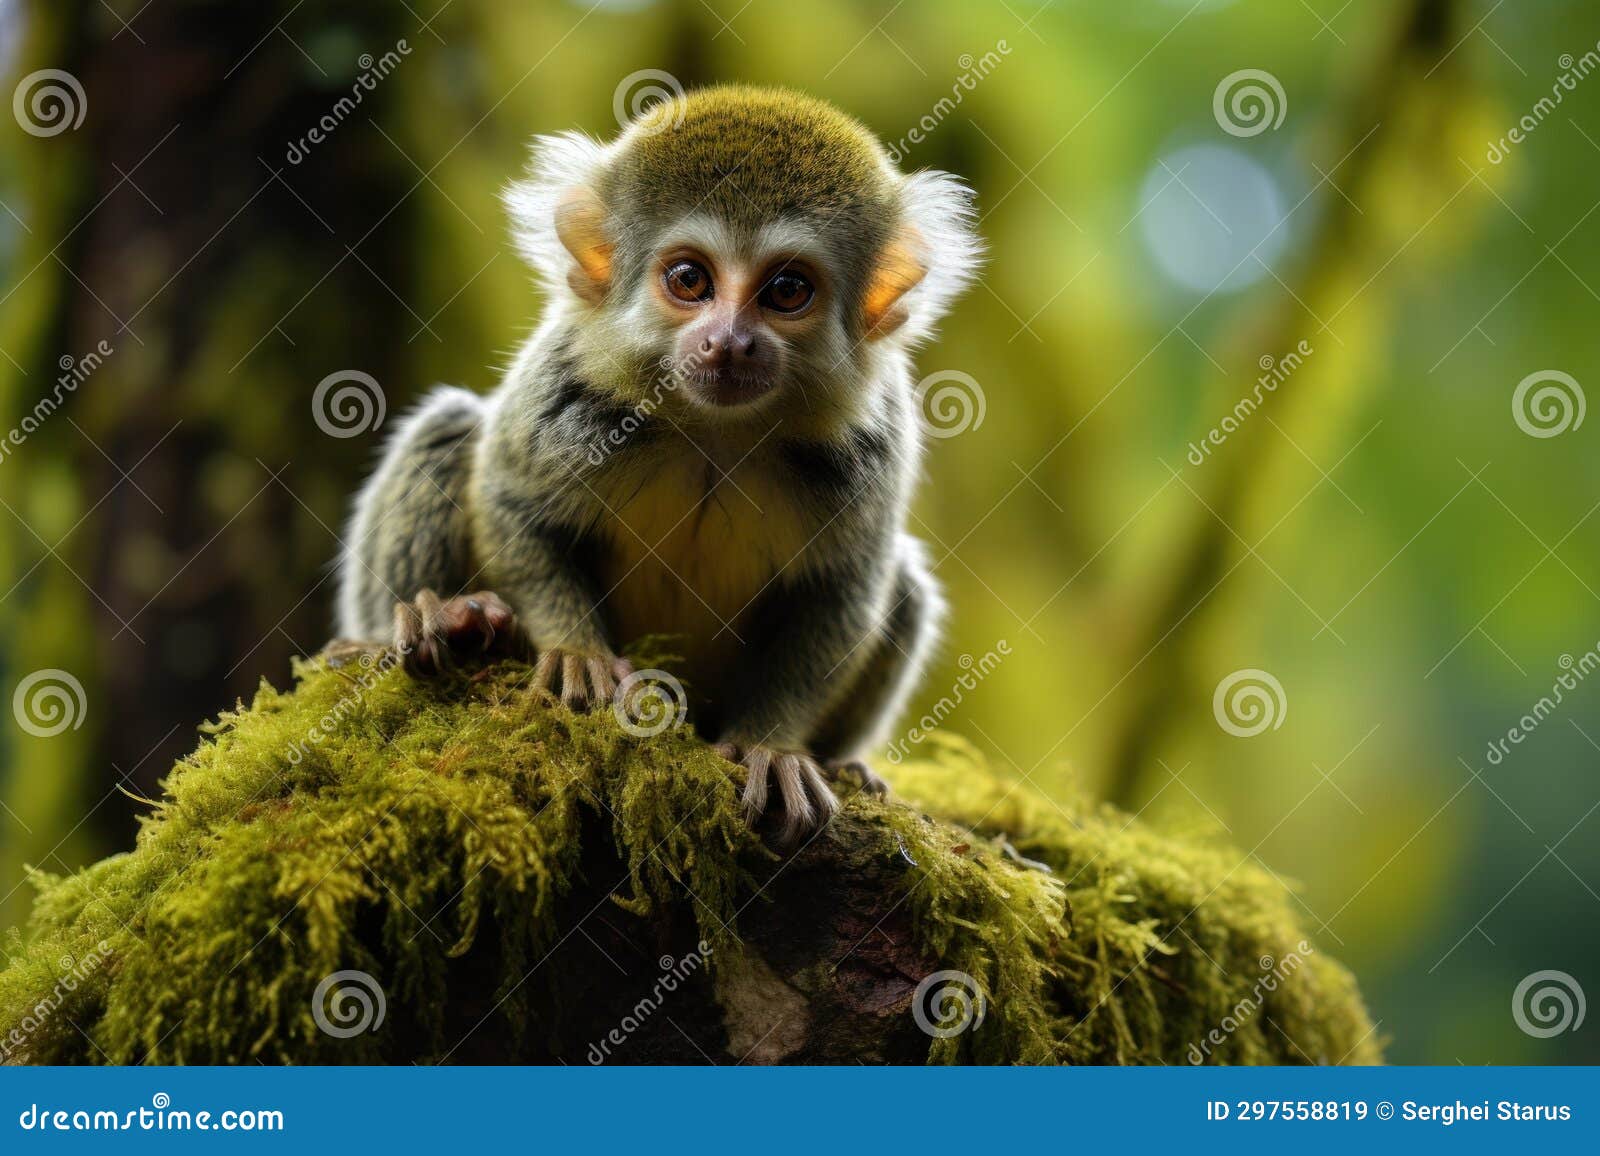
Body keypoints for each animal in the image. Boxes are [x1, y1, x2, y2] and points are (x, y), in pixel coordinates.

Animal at [336, 86, 980, 846]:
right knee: (451, 428)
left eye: (787, 290)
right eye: (689, 280)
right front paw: (575, 652)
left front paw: (773, 746)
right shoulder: (566, 392)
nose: (729, 342)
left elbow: (843, 587)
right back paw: (445, 623)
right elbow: (509, 501)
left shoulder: (875, 443)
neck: (714, 435)